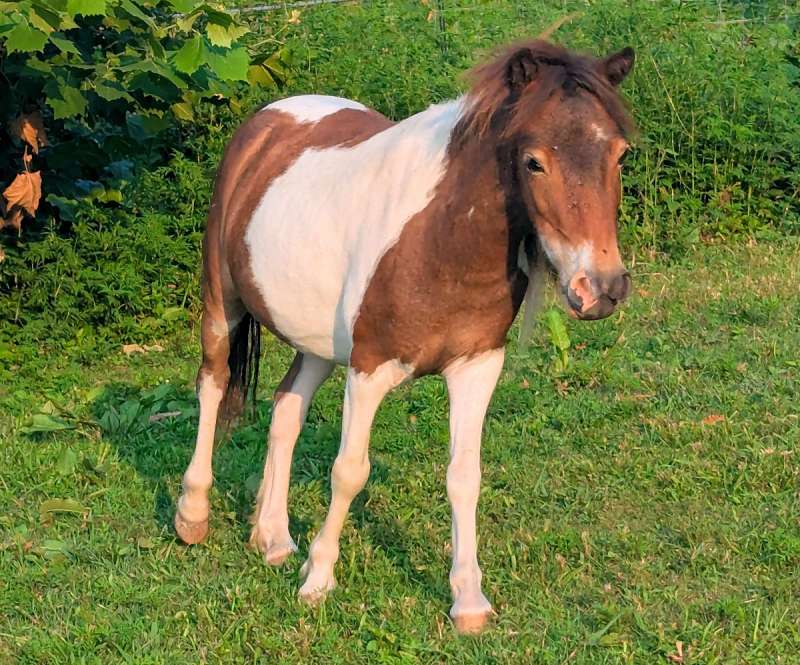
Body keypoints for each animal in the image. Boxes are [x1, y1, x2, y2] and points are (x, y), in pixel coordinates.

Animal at [174, 39, 636, 634]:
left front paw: (468, 601)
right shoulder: (368, 369)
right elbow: (349, 471)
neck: (443, 238)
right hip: (221, 304)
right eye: (535, 161)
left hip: (317, 346)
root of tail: (268, 119)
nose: (601, 288)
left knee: (286, 408)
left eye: (620, 156)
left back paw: (273, 538)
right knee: (212, 385)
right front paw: (318, 581)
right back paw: (193, 516)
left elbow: (464, 475)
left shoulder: (477, 366)